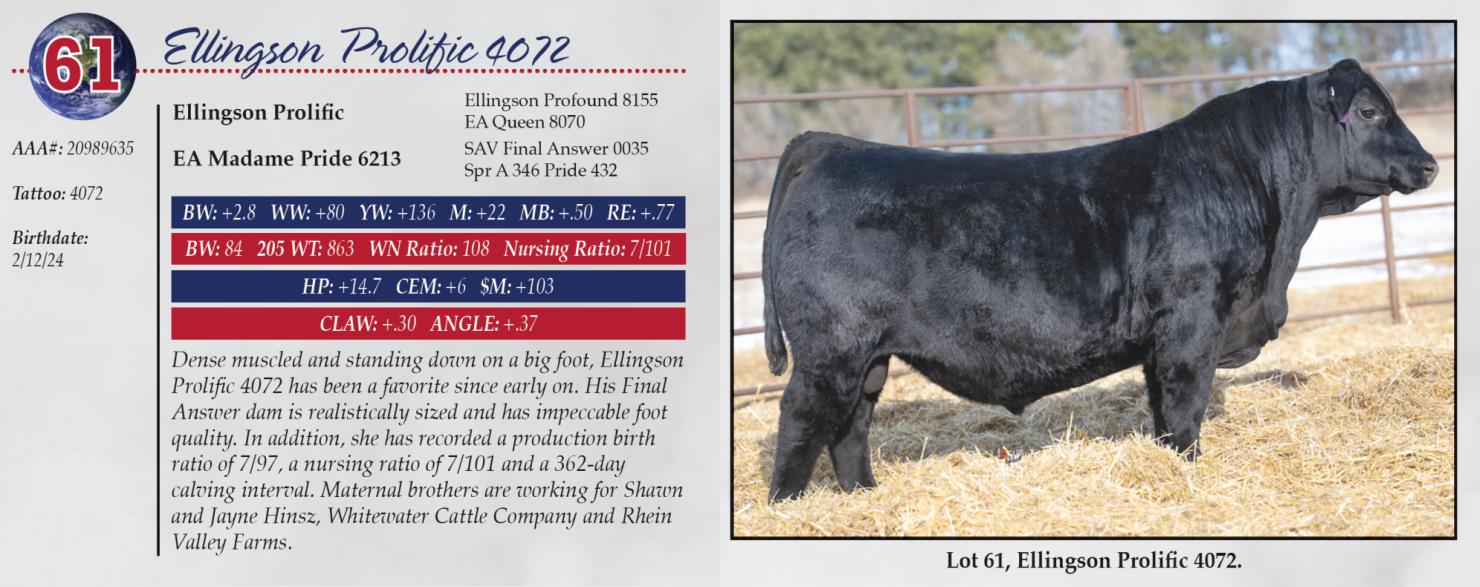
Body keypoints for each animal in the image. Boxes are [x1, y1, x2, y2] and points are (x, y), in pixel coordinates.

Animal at [760, 59, 1439, 501]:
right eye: (1370, 111)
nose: (1431, 164)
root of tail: (832, 146)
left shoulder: (1163, 335)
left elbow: (1162, 406)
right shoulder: (1193, 317)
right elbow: (1186, 400)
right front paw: (1189, 466)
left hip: (868, 356)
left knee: (851, 426)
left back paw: (863, 497)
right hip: (830, 348)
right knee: (803, 420)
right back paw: (789, 507)